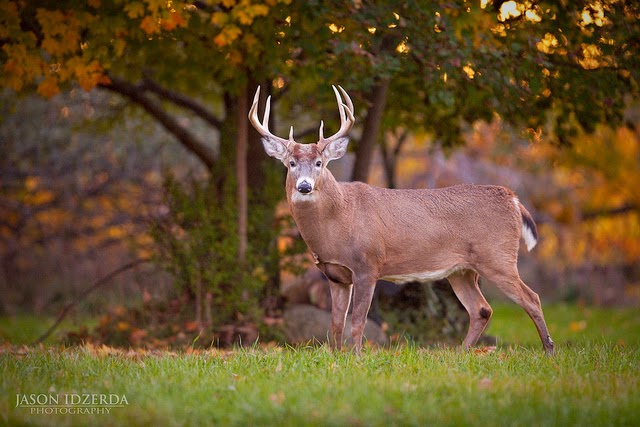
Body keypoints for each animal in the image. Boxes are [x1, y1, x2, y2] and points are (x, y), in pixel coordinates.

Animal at [249, 85, 555, 355]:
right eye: (291, 163)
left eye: (319, 163)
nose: (304, 186)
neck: (340, 220)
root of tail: (514, 199)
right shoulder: (334, 275)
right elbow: (336, 323)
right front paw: (335, 357)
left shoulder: (368, 265)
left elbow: (357, 321)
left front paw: (356, 358)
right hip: (462, 270)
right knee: (482, 309)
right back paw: (461, 354)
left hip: (497, 256)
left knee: (532, 298)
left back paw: (549, 351)